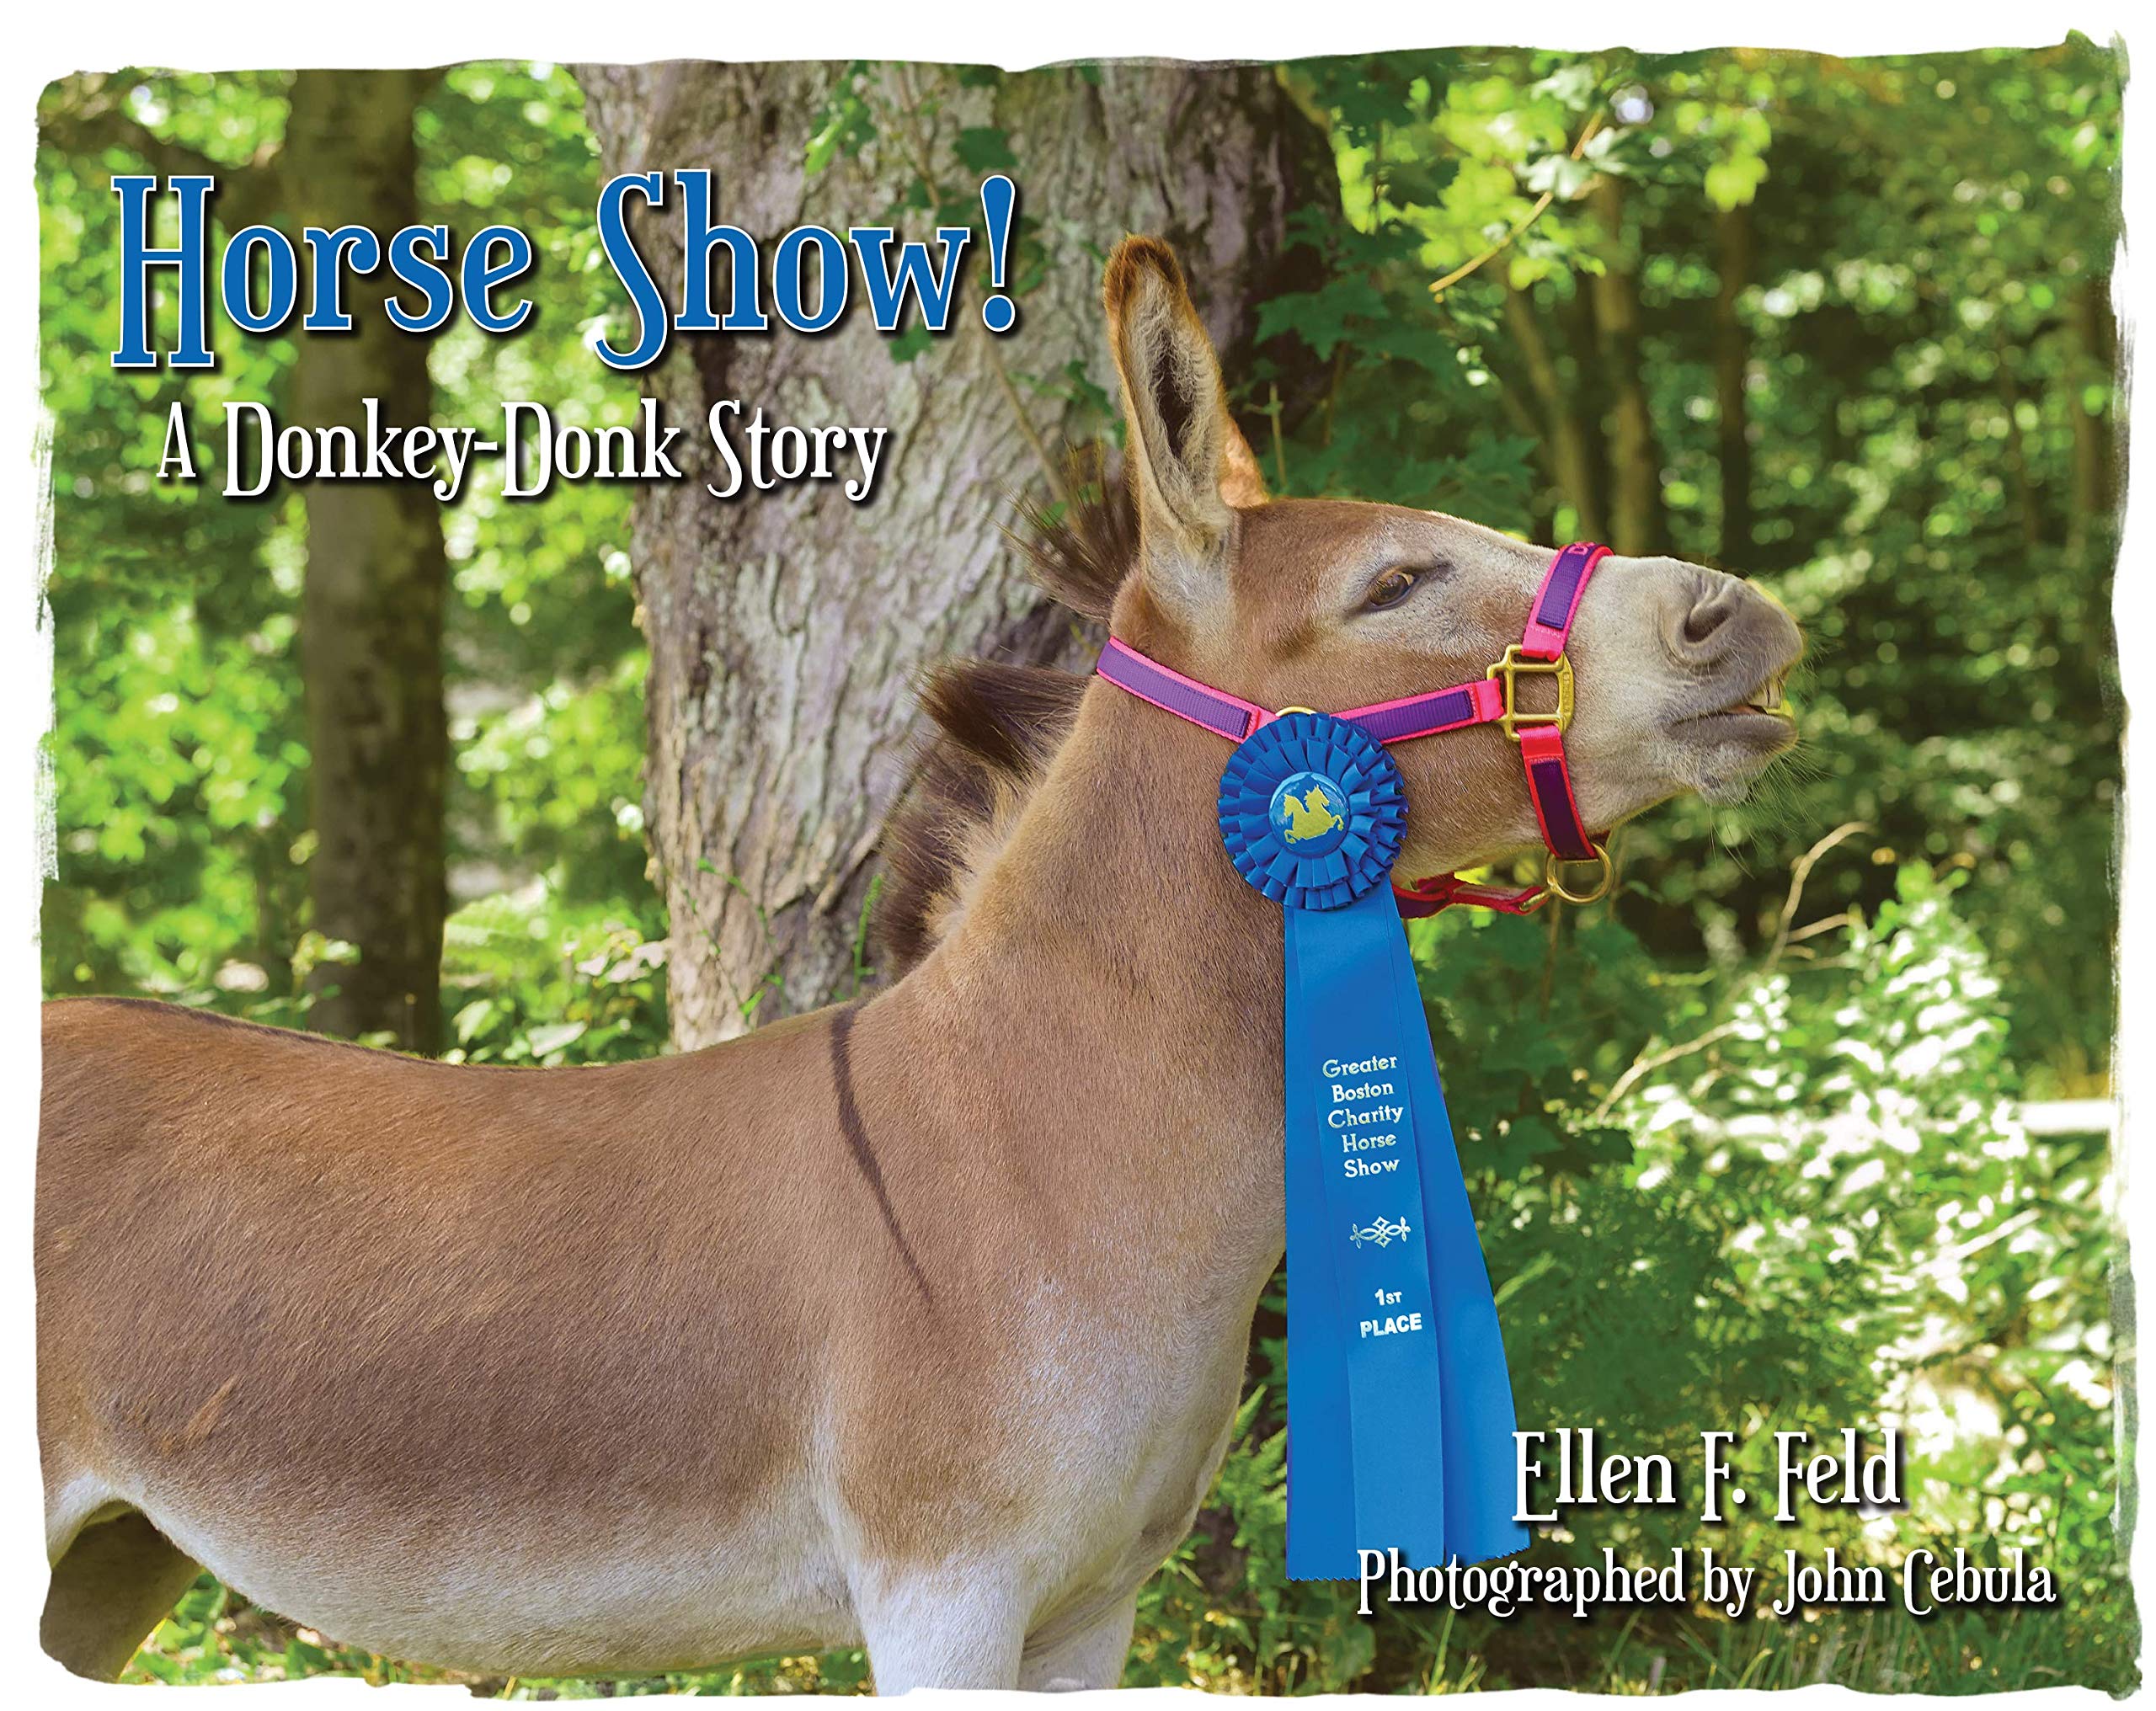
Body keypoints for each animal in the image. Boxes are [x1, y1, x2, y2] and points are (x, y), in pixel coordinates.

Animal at [36, 235, 1803, 1690]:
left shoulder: (1089, 1612)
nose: (1742, 615)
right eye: (1397, 583)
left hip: (108, 1564)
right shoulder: (944, 1596)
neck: (1030, 1140)